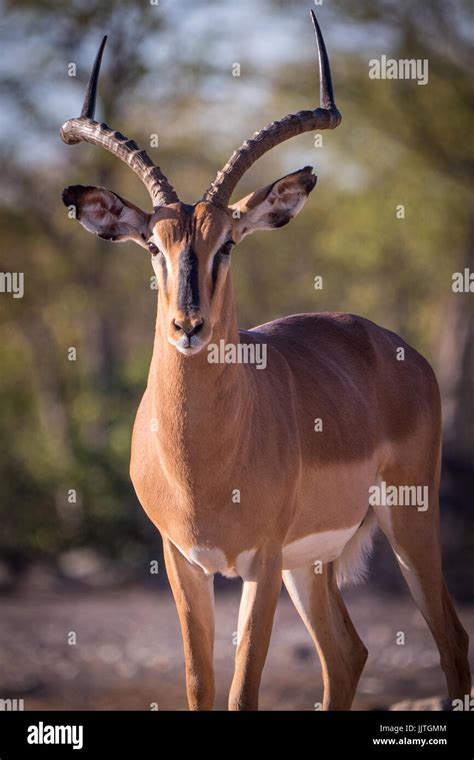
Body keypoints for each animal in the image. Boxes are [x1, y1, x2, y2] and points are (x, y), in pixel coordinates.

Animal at [61, 12, 471, 711]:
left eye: (227, 242)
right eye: (153, 244)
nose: (188, 325)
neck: (204, 465)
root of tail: (398, 346)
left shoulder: (263, 561)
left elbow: (241, 693)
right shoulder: (185, 562)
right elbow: (200, 687)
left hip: (407, 524)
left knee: (451, 640)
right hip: (314, 564)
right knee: (348, 653)